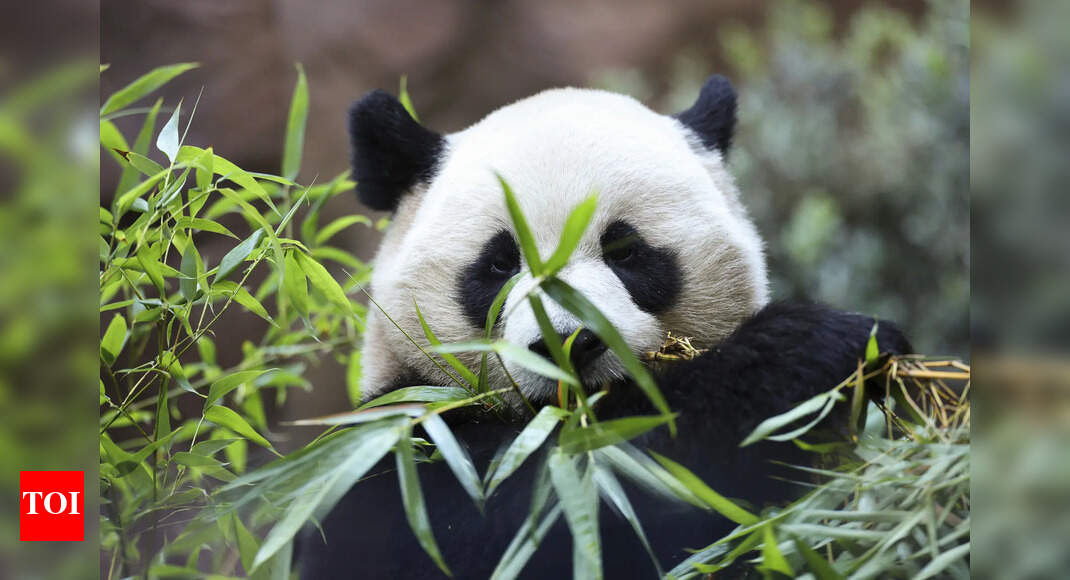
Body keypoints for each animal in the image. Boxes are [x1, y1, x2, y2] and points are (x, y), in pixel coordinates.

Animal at [299, 75, 911, 578]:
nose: (566, 343)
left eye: (624, 250)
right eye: (499, 264)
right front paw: (814, 348)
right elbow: (517, 510)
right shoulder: (391, 445)